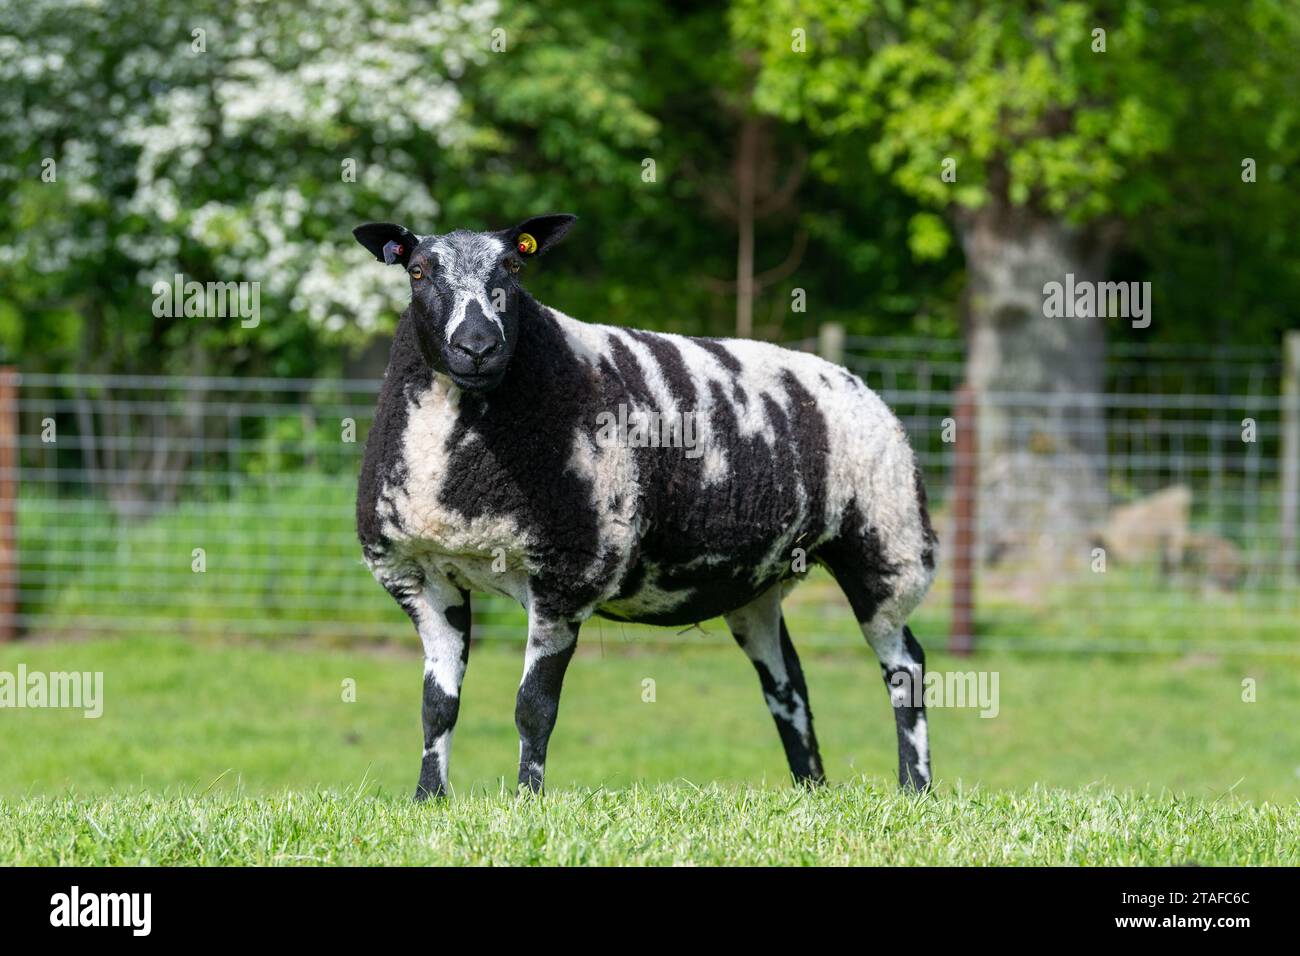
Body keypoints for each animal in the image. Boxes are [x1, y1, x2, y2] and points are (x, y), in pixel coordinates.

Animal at [352, 214, 938, 798]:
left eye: (516, 268)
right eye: (418, 271)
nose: (477, 347)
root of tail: (859, 384)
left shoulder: (568, 575)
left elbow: (533, 709)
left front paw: (527, 799)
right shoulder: (423, 577)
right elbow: (437, 706)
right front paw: (428, 799)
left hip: (886, 542)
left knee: (905, 665)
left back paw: (915, 787)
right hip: (757, 587)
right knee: (787, 684)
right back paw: (810, 789)